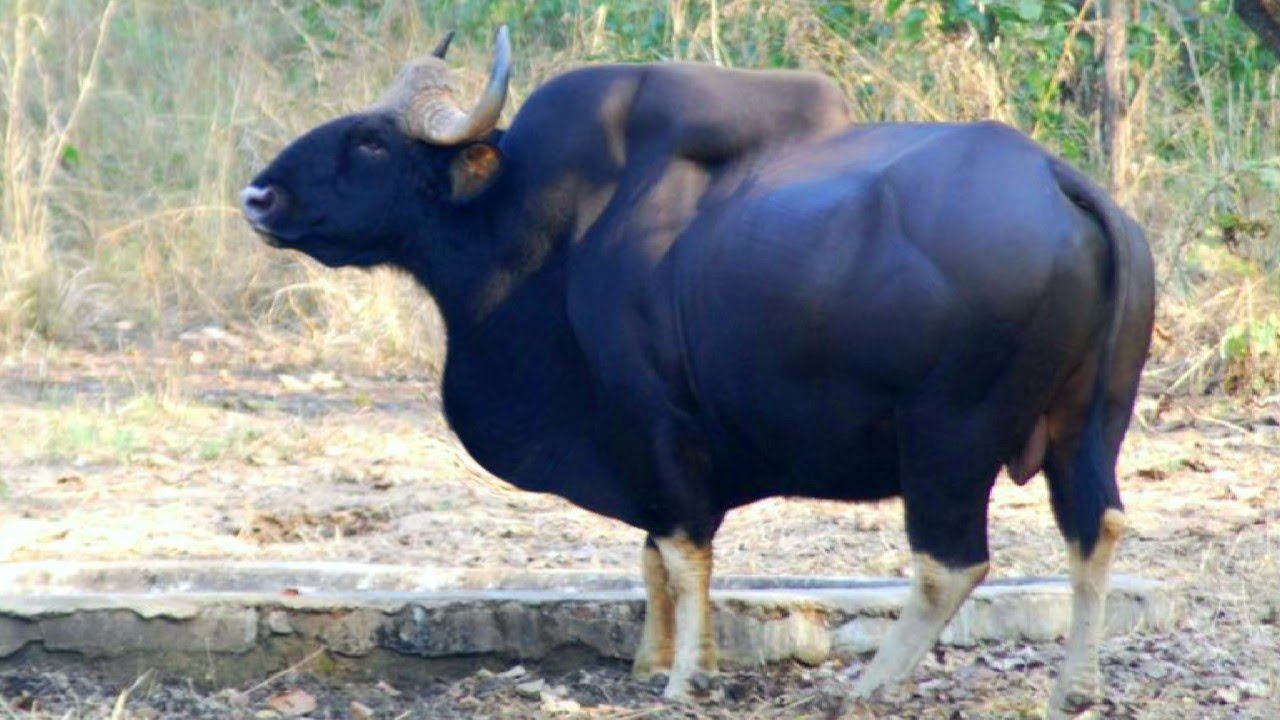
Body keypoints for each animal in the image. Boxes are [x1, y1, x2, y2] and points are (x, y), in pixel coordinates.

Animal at [241, 27, 1155, 718]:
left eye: (370, 141)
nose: (259, 196)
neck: (550, 228)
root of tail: (1060, 182)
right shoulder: (638, 446)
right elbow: (655, 553)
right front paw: (662, 661)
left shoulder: (653, 428)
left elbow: (681, 552)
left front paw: (684, 677)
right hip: (1089, 426)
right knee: (1096, 528)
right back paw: (1076, 686)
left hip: (948, 436)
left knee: (950, 562)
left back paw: (870, 684)